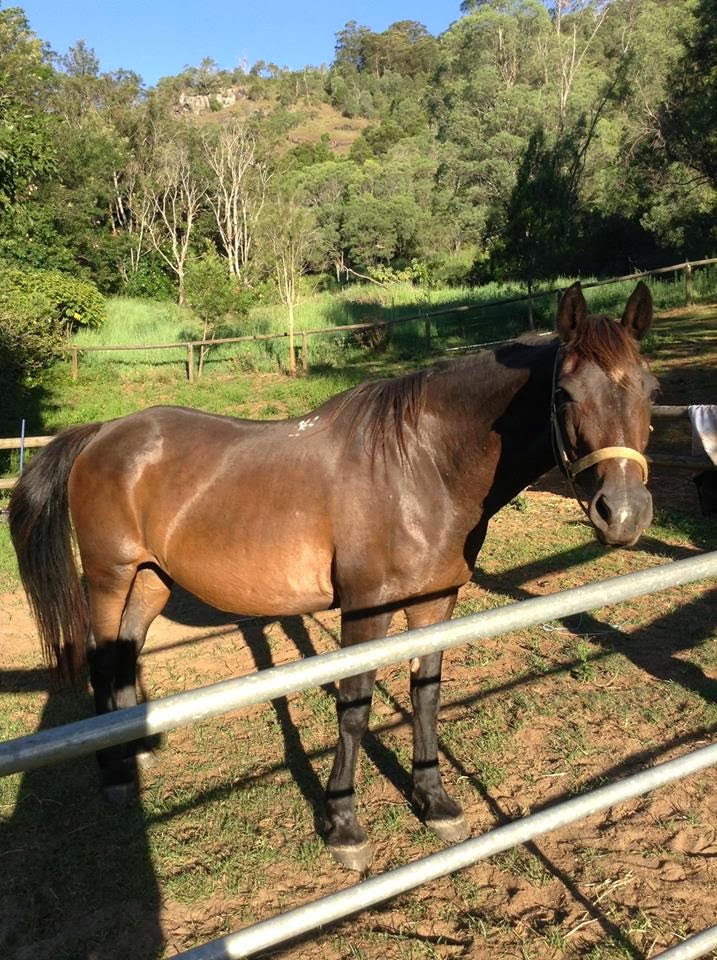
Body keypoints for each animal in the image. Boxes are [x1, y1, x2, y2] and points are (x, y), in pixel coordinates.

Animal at [9, 280, 658, 871]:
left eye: (651, 388)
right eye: (565, 393)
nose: (623, 514)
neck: (421, 464)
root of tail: (101, 434)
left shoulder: (437, 602)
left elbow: (425, 695)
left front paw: (435, 801)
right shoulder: (366, 608)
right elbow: (354, 704)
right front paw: (343, 825)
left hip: (151, 578)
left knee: (126, 649)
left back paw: (137, 749)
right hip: (109, 575)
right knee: (101, 656)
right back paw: (114, 772)